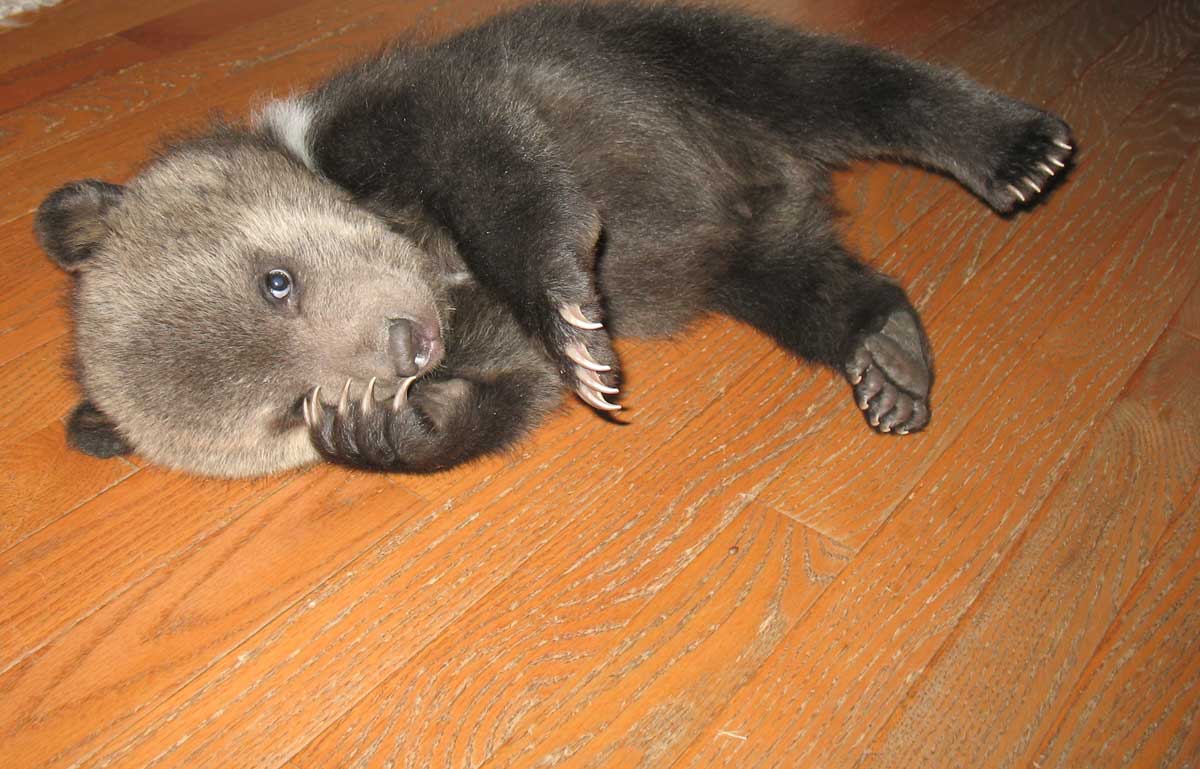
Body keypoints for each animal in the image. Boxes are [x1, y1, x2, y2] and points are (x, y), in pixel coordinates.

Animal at [36, 1, 1073, 477]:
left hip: (667, 51)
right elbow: (507, 398)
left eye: (275, 280)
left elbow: (492, 155)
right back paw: (886, 354)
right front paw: (383, 424)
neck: (434, 263)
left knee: (831, 75)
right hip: (748, 257)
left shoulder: (390, 115)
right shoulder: (482, 348)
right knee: (807, 281)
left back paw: (1016, 149)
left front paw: (570, 312)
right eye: (289, 404)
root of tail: (777, 173)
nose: (408, 344)